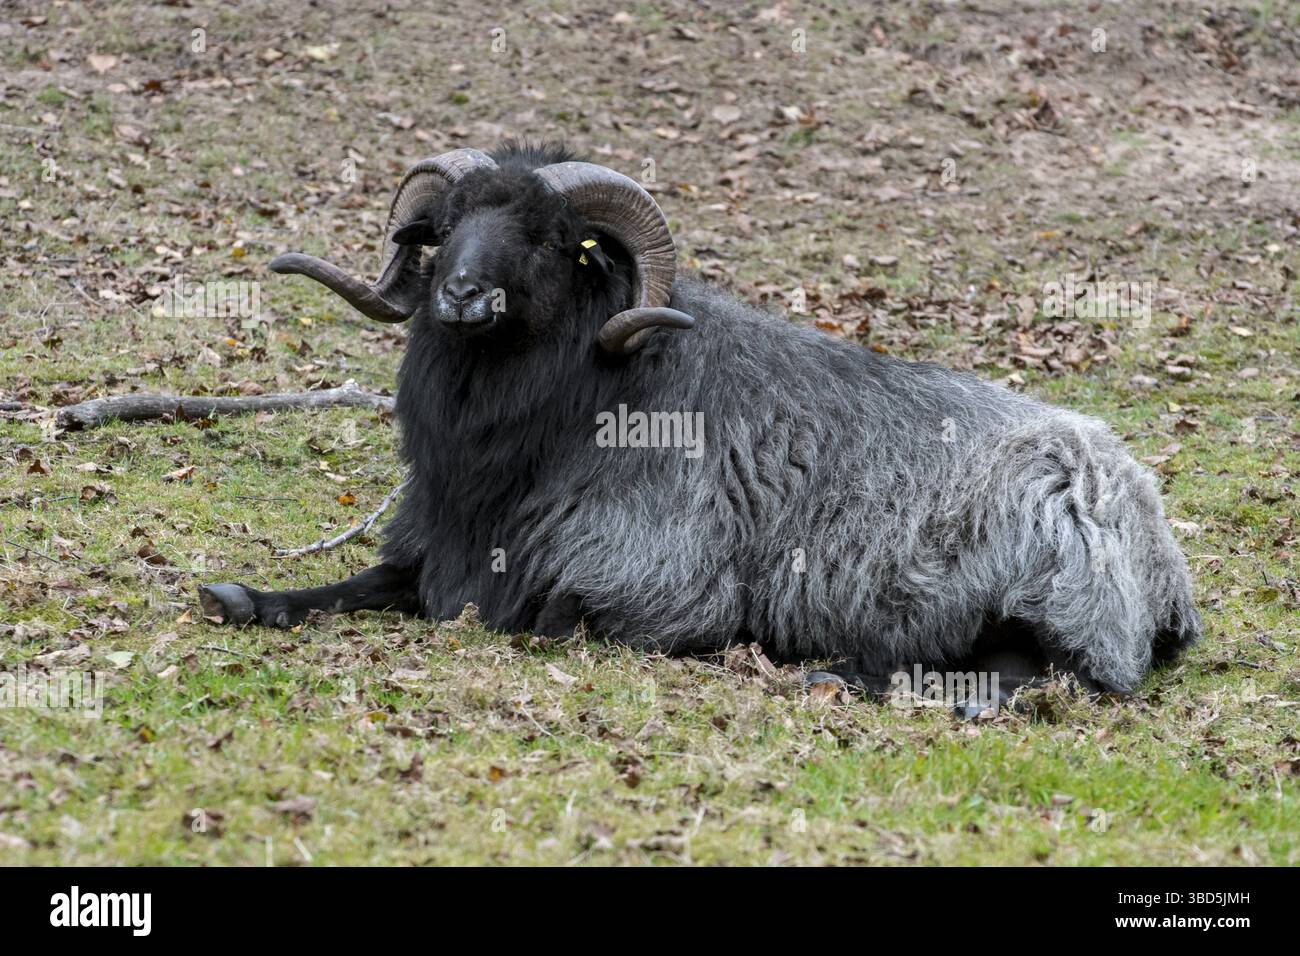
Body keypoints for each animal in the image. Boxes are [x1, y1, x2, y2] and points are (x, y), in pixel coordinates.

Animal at [199, 141, 1201, 711]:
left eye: (558, 241)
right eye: (443, 226)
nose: (464, 296)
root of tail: (1162, 559)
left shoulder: (664, 592)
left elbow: (533, 622)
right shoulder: (437, 547)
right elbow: (360, 584)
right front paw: (246, 599)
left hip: (1051, 603)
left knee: (1049, 677)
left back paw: (849, 676)